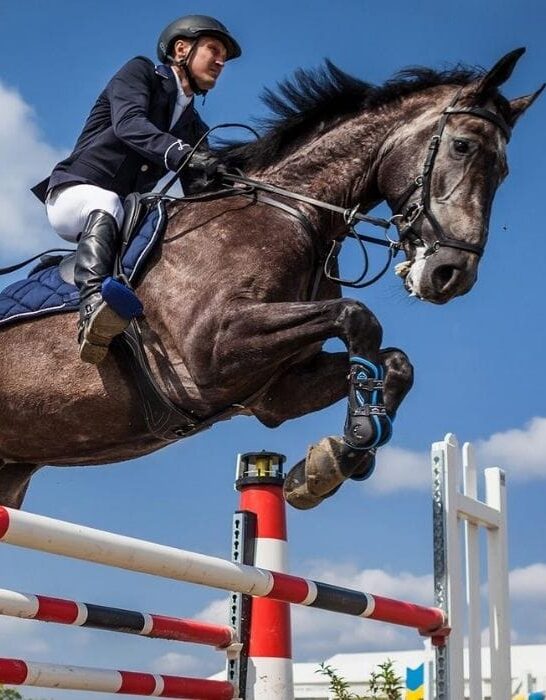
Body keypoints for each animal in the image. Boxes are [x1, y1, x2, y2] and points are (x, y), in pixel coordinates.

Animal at [0, 48, 542, 510]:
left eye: (504, 171)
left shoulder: (273, 389)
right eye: (463, 146)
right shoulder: (211, 352)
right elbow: (359, 317)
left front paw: (331, 461)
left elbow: (394, 362)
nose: (452, 275)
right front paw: (354, 441)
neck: (295, 214)